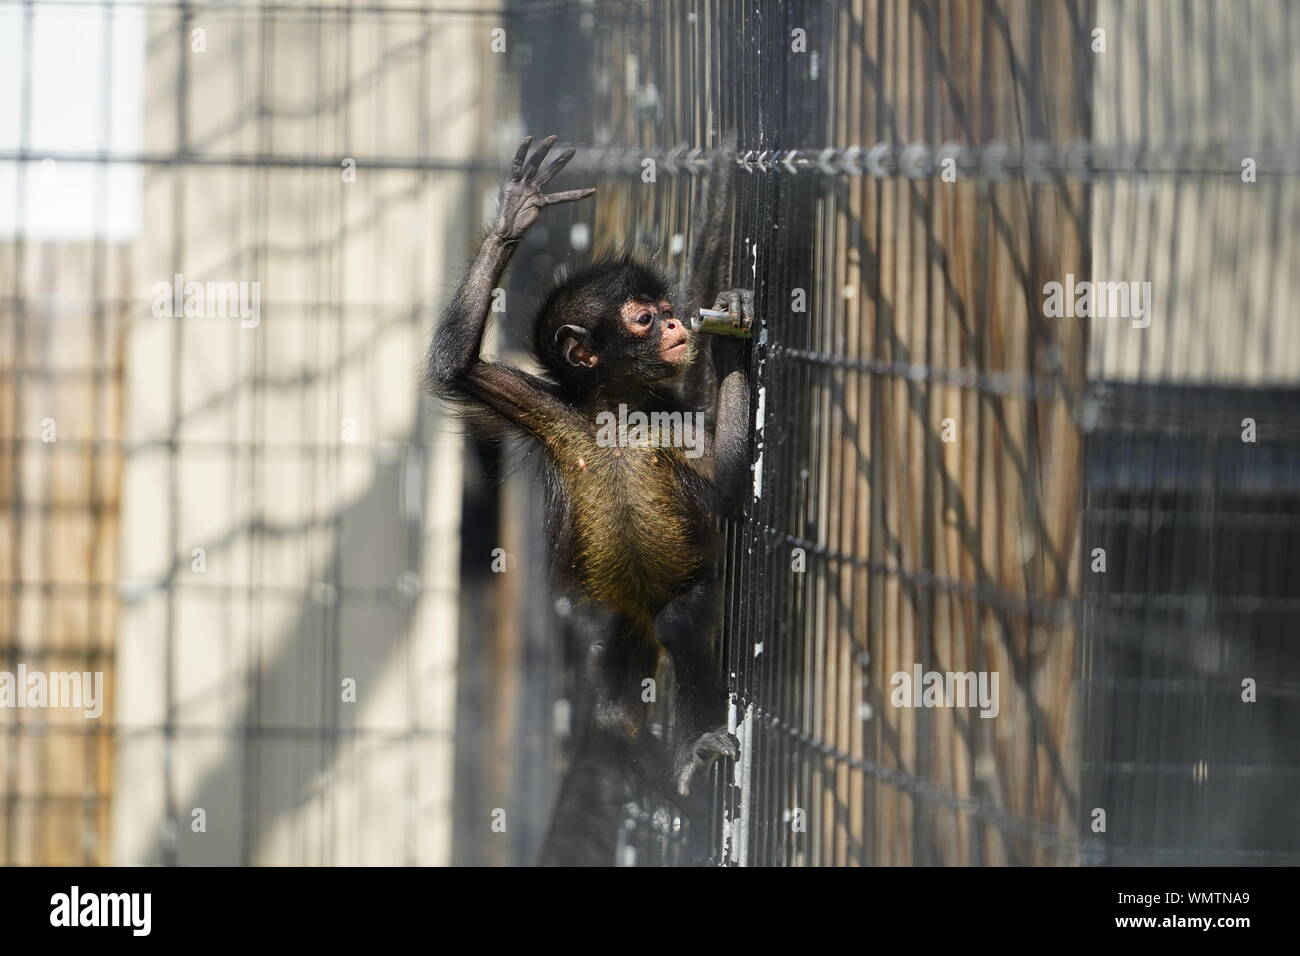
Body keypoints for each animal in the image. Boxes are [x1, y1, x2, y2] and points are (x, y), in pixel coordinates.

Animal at [426, 134, 753, 864]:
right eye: (643, 318)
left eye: (666, 312)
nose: (677, 326)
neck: (617, 412)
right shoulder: (553, 408)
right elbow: (453, 368)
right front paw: (516, 216)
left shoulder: (670, 417)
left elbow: (723, 476)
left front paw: (731, 329)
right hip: (625, 623)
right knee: (611, 715)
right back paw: (688, 785)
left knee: (682, 621)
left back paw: (697, 754)